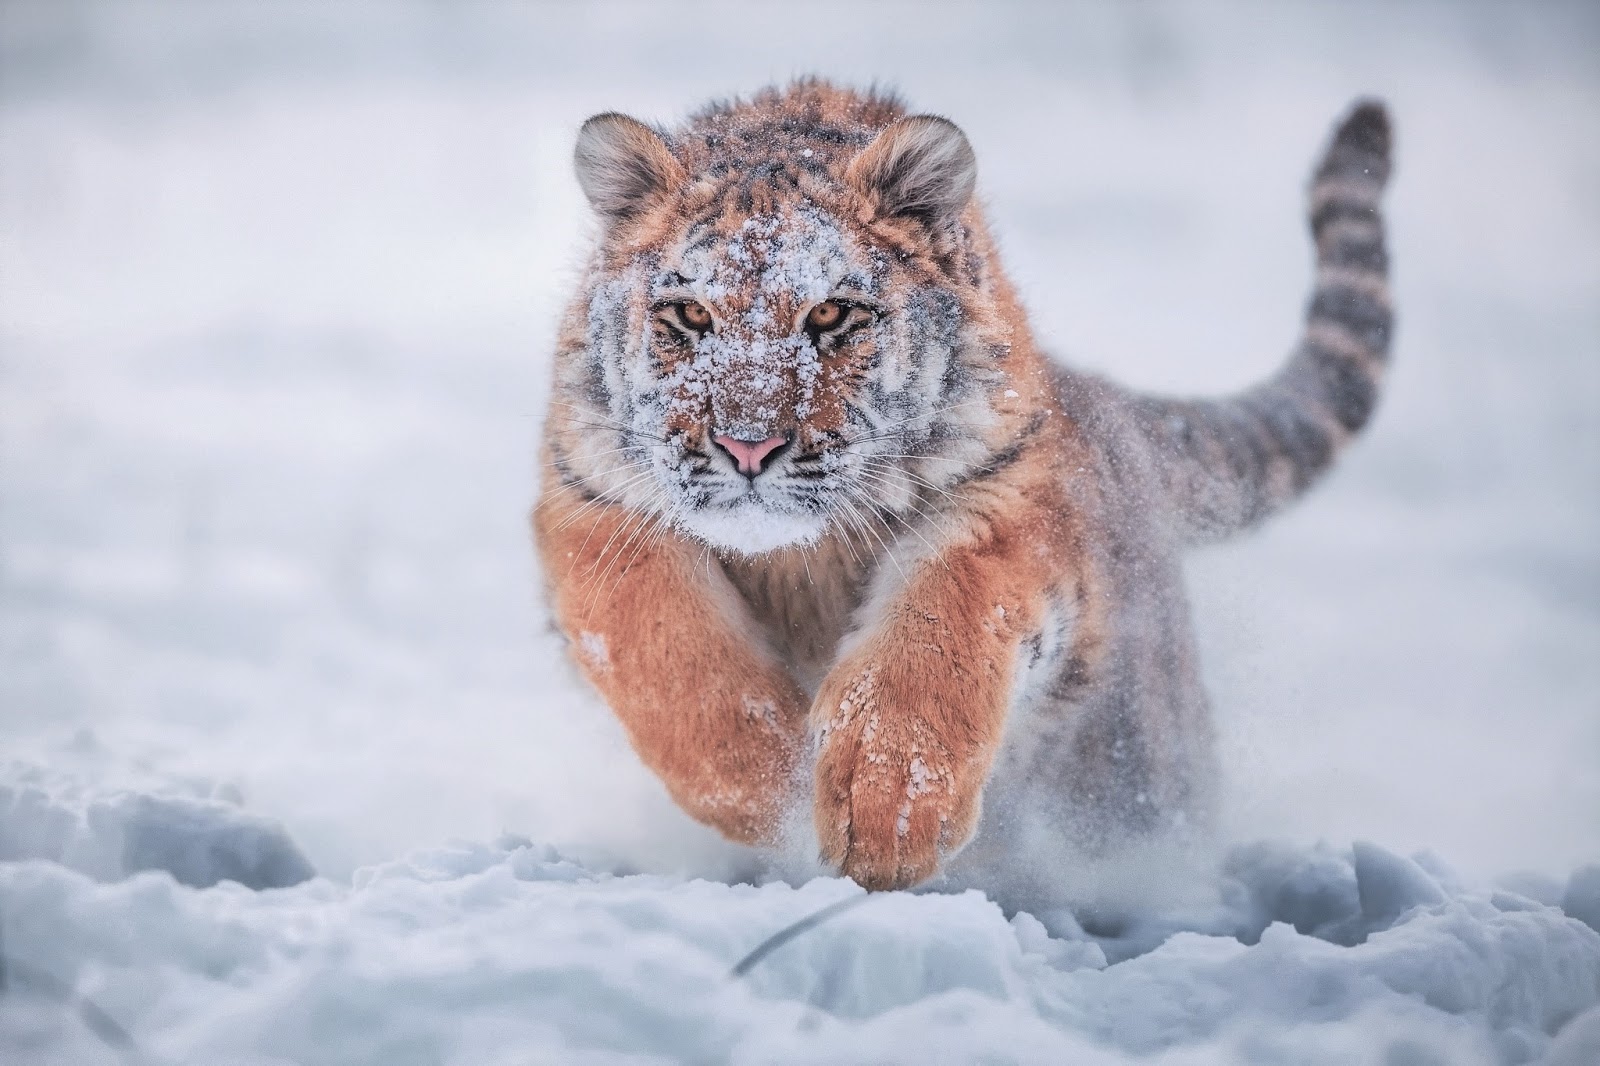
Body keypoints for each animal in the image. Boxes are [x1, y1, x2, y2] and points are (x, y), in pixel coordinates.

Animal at [532, 80, 1393, 893]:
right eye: (689, 314)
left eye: (831, 315)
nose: (750, 445)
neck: (799, 560)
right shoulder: (594, 504)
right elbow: (666, 649)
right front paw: (769, 785)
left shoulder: (1003, 500)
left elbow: (937, 630)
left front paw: (886, 813)